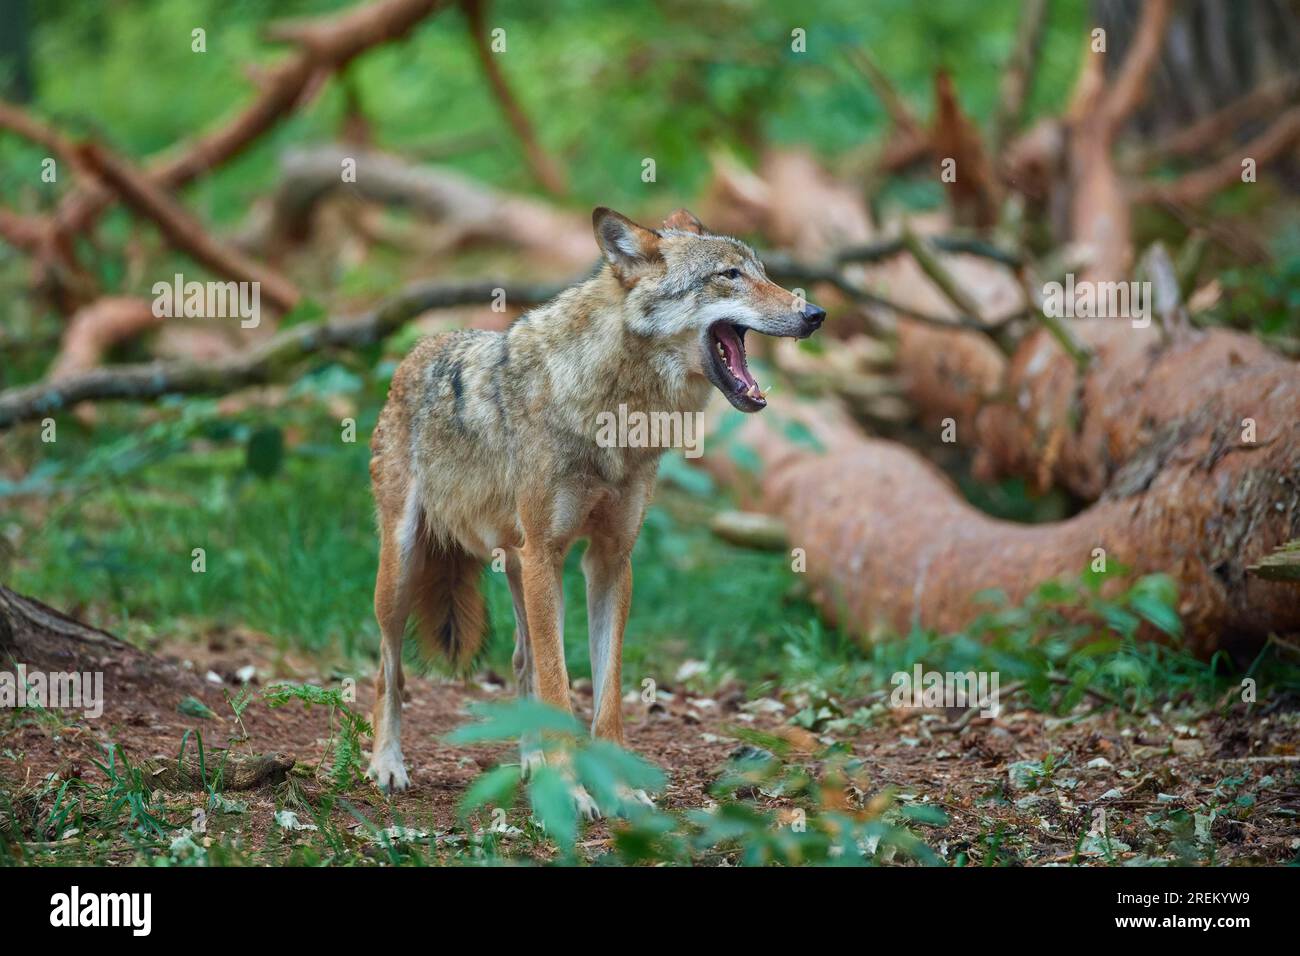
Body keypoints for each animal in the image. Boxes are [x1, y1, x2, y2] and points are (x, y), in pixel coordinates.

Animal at [366, 207, 825, 803]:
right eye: (729, 275)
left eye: (763, 271)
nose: (815, 314)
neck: (616, 411)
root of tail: (416, 350)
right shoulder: (548, 553)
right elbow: (561, 686)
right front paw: (570, 789)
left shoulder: (609, 558)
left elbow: (605, 693)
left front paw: (619, 792)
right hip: (404, 570)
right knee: (388, 669)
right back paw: (387, 764)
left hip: (517, 568)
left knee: (521, 661)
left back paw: (532, 764)